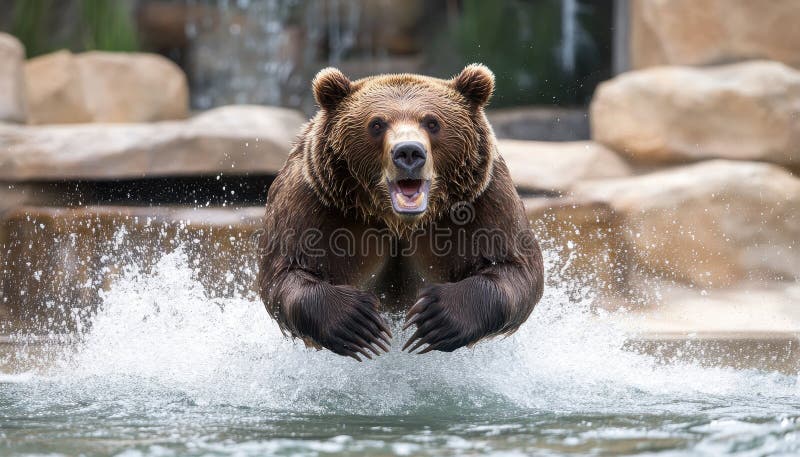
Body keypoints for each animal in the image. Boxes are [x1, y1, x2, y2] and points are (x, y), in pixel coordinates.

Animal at [258, 64, 544, 360]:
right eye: (376, 123)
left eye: (432, 122)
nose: (408, 152)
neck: (399, 221)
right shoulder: (313, 201)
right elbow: (286, 271)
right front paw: (357, 321)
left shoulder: (483, 200)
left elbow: (516, 268)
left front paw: (436, 316)